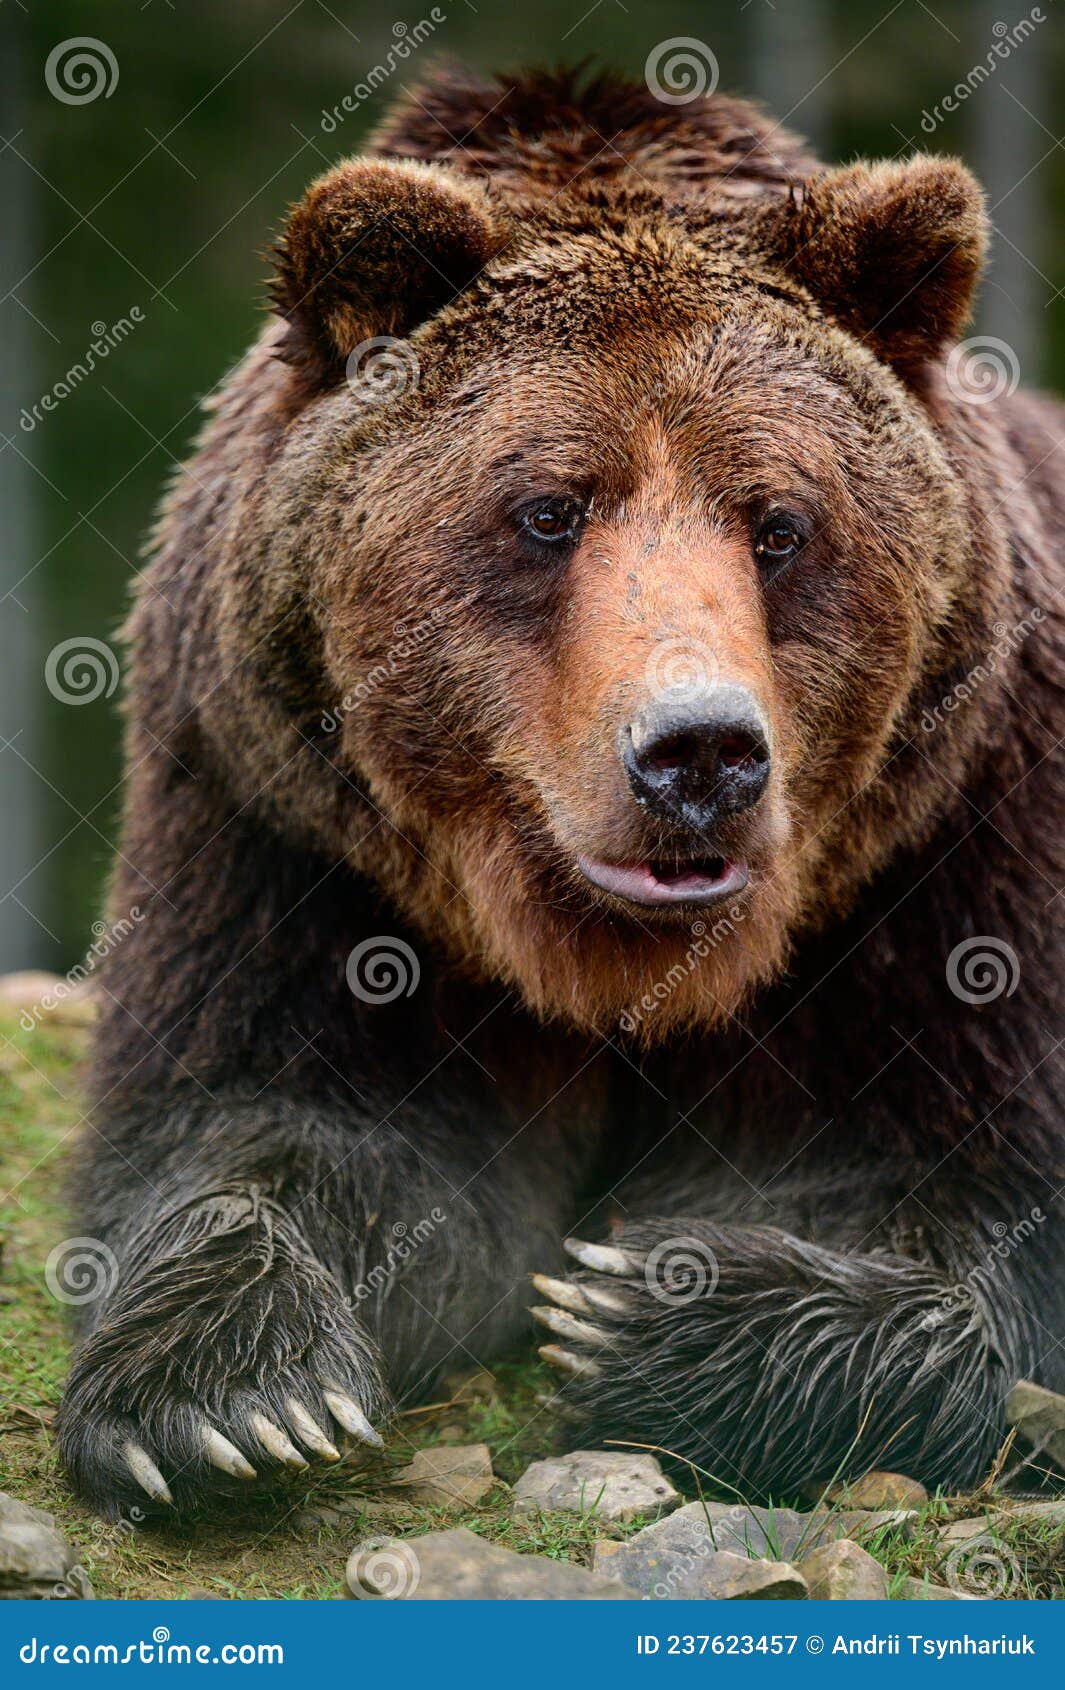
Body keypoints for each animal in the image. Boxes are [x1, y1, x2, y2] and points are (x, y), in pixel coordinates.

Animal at [55, 64, 1064, 1518]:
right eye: (548, 508)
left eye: (777, 520)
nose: (698, 750)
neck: (610, 963)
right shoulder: (285, 832)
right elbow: (266, 1121)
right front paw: (225, 1395)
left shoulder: (953, 850)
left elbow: (964, 1193)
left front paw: (643, 1305)